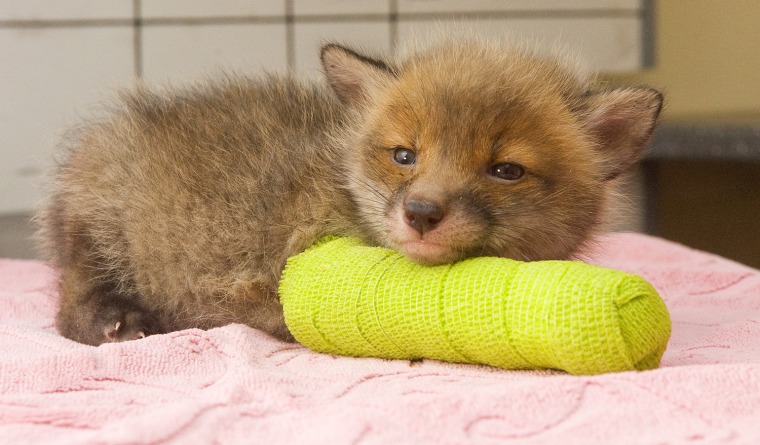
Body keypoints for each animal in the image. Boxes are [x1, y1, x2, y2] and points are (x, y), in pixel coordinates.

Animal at [37, 39, 663, 346]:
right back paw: (115, 321)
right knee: (72, 290)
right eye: (404, 155)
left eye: (506, 170)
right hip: (102, 223)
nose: (421, 212)